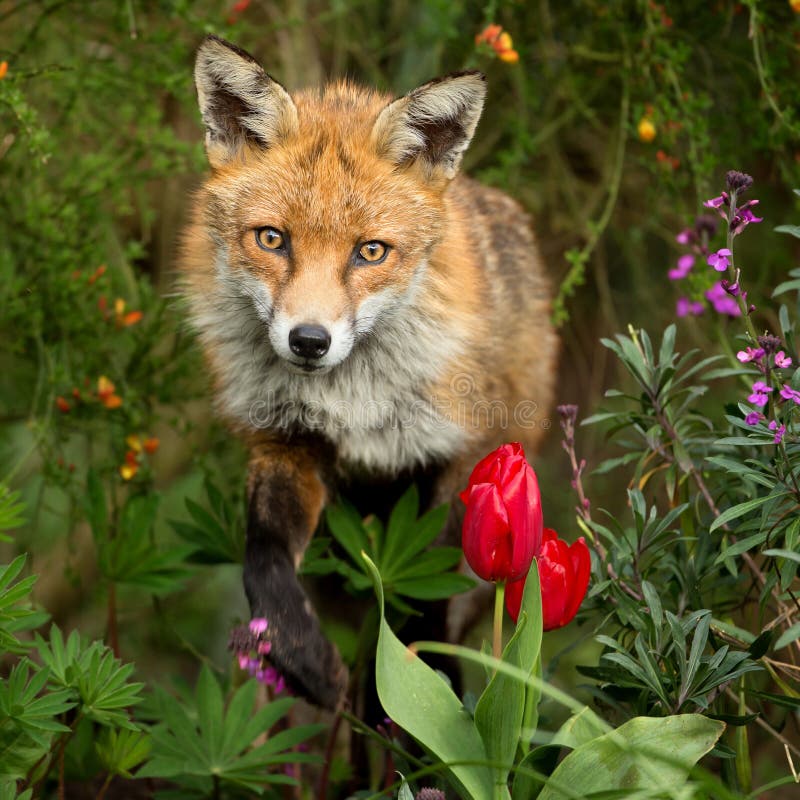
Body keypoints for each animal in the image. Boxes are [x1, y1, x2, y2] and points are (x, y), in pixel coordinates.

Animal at [182, 35, 558, 711]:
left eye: (370, 251)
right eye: (272, 239)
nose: (309, 341)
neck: (355, 400)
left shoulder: (464, 458)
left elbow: (424, 599)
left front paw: (423, 692)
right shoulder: (289, 444)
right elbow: (263, 560)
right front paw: (303, 659)